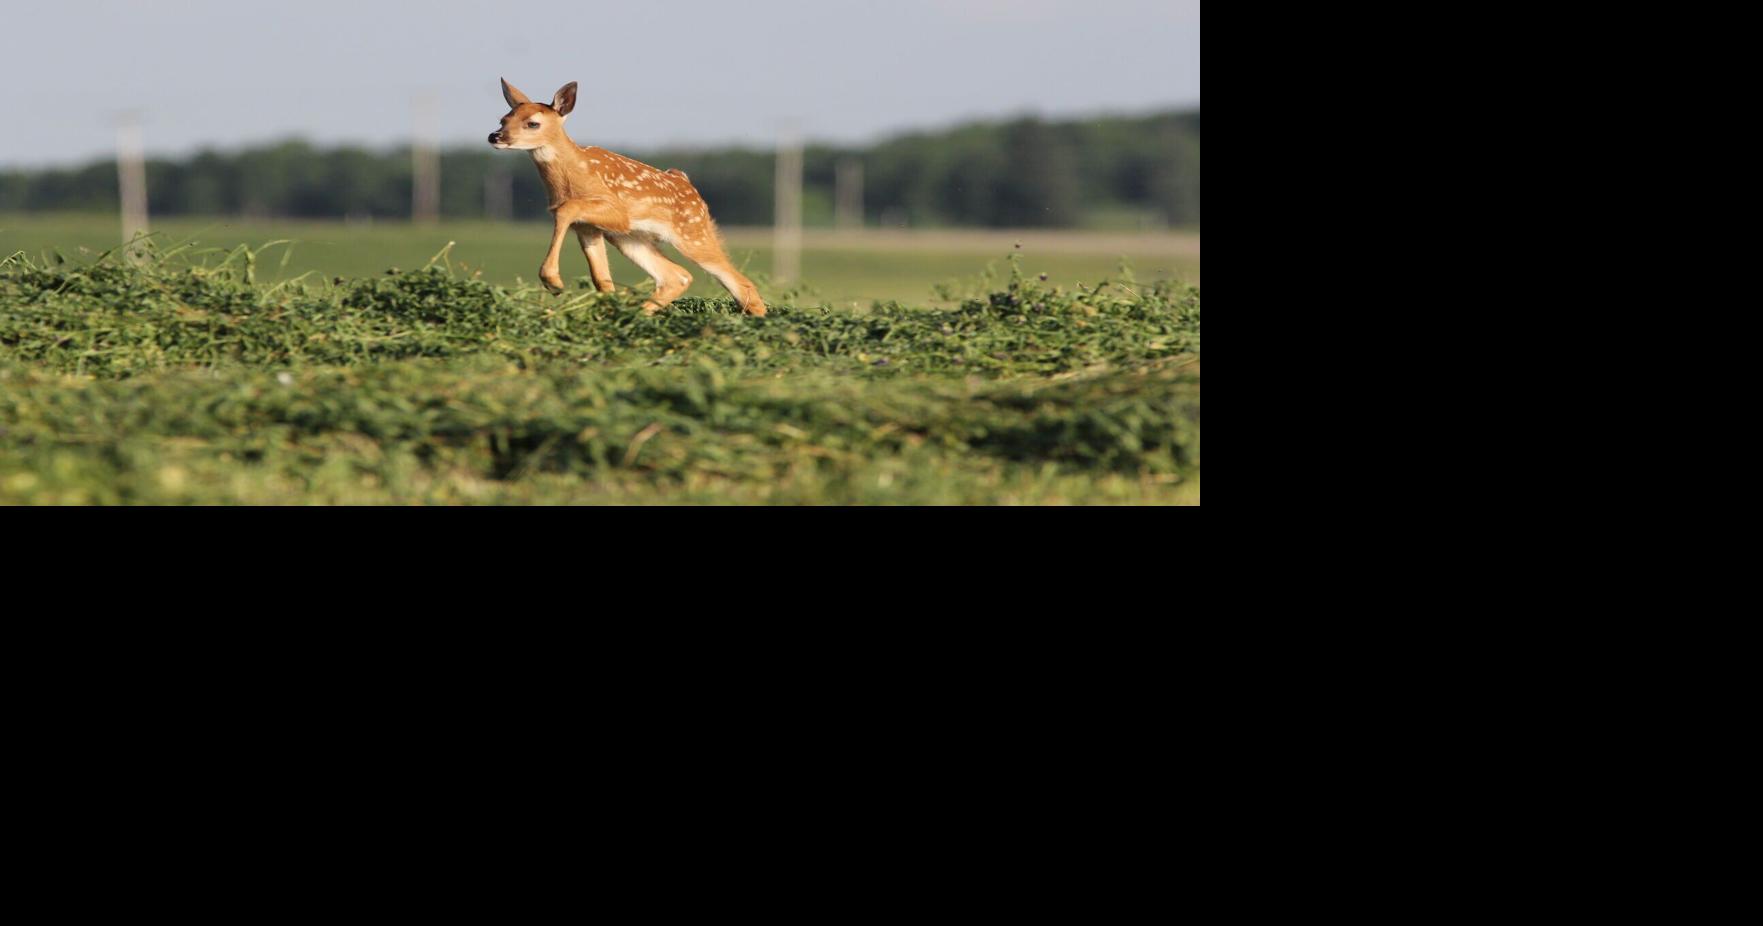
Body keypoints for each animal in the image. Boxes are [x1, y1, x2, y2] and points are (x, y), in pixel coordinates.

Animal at [488, 78, 767, 317]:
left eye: (532, 123)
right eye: (503, 119)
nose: (495, 136)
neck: (574, 177)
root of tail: (686, 182)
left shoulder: (616, 212)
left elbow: (566, 209)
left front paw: (553, 282)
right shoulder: (589, 228)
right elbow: (601, 278)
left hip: (692, 233)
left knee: (741, 283)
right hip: (630, 238)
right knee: (676, 276)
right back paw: (635, 316)